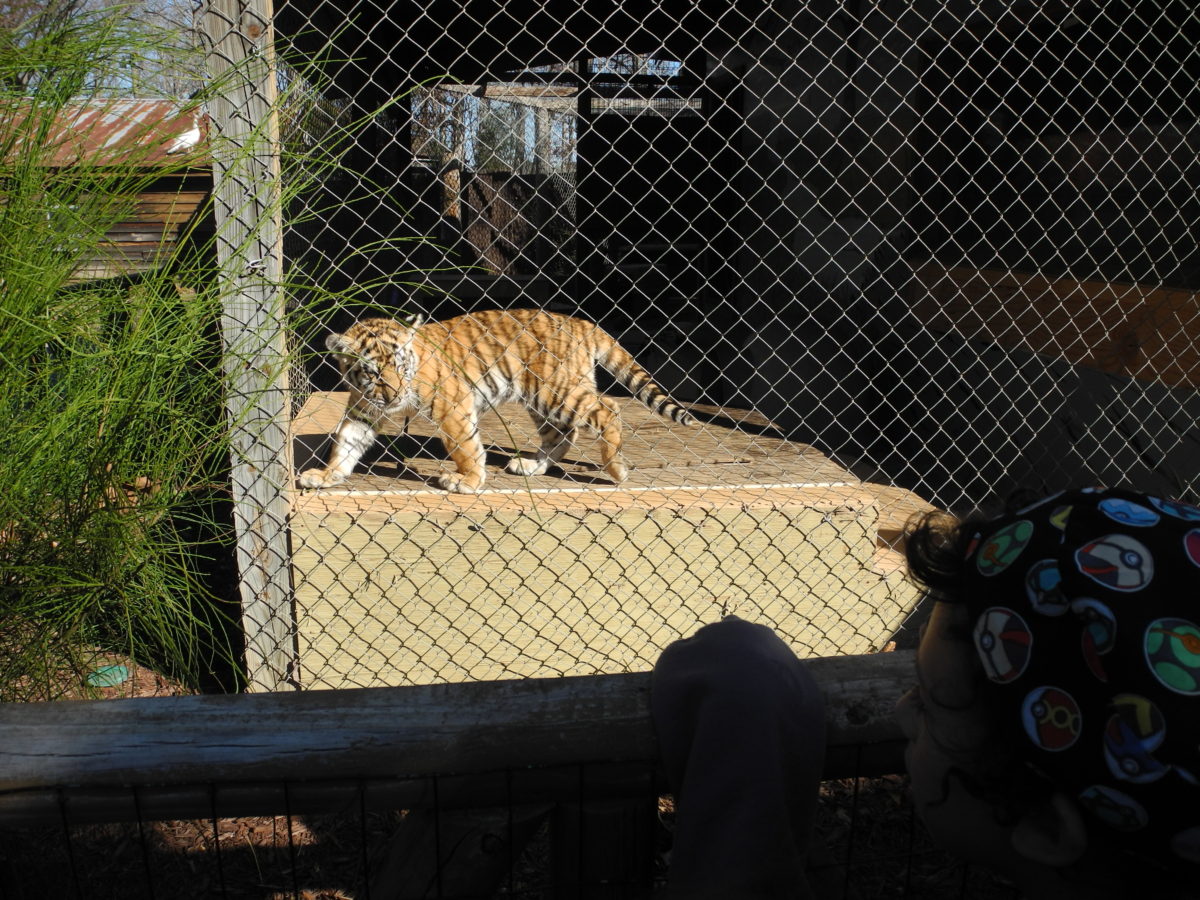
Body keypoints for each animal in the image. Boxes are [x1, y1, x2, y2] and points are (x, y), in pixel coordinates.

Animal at [298, 308, 697, 493]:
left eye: (400, 365)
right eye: (373, 372)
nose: (395, 393)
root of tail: (580, 322)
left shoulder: (452, 404)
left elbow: (464, 446)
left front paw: (469, 481)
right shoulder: (364, 408)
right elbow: (346, 442)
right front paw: (326, 476)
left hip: (557, 391)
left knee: (607, 409)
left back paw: (616, 470)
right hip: (542, 400)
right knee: (562, 435)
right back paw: (531, 466)